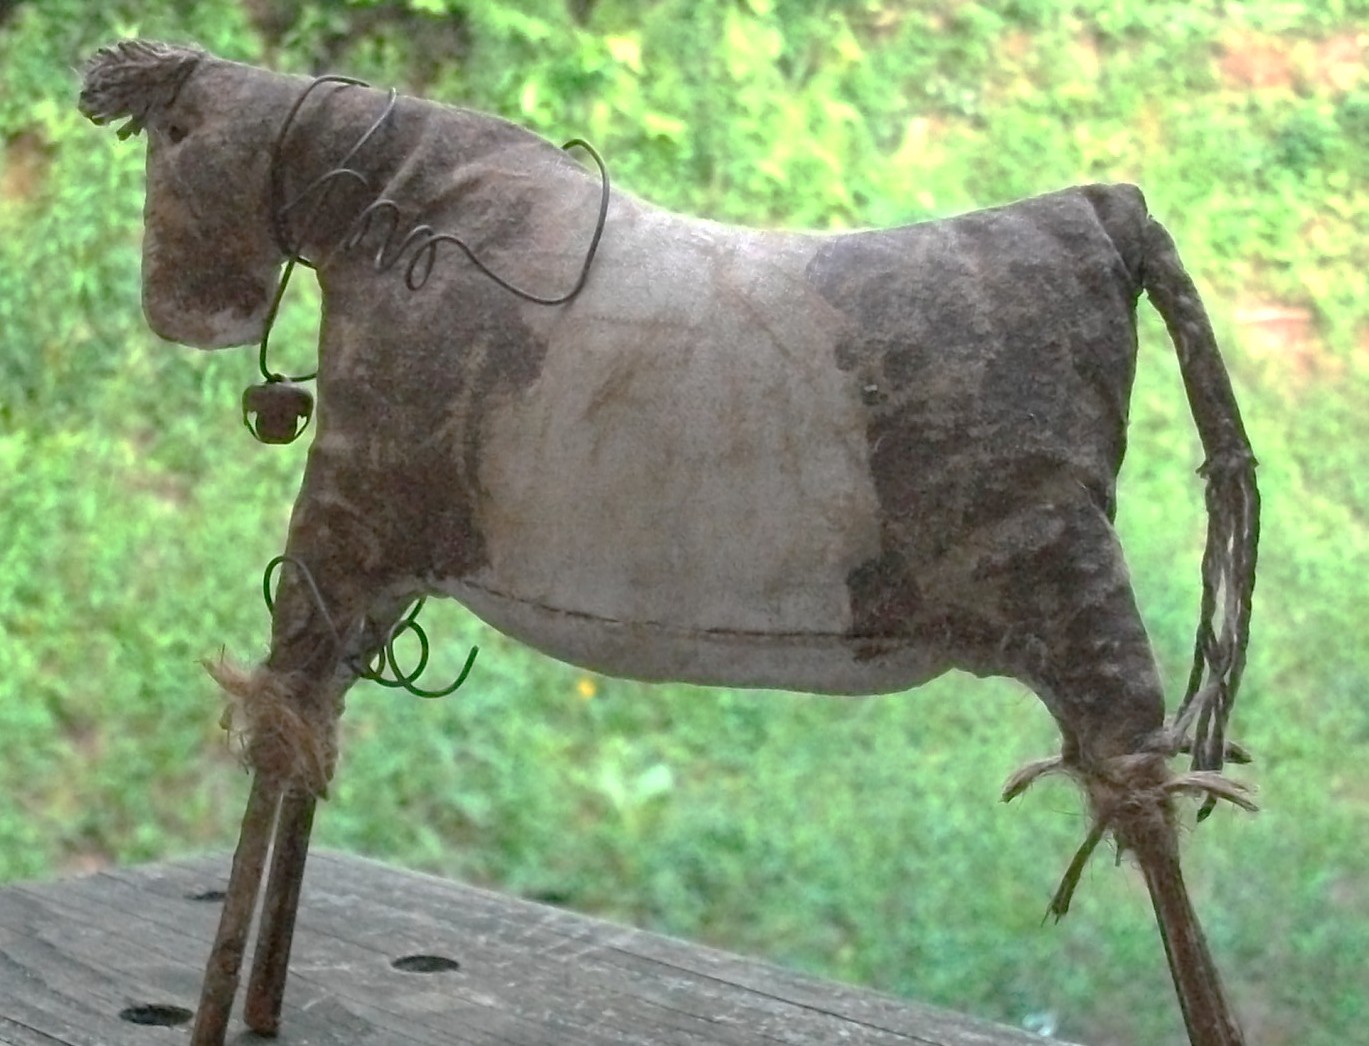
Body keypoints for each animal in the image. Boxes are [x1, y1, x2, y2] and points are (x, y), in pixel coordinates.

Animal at [79, 39, 1259, 1046]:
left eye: (179, 134)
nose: (184, 306)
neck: (398, 215)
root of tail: (1111, 217)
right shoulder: (368, 581)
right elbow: (305, 749)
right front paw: (261, 1004)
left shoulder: (336, 538)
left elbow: (276, 752)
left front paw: (217, 1013)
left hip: (1070, 600)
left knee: (1147, 816)